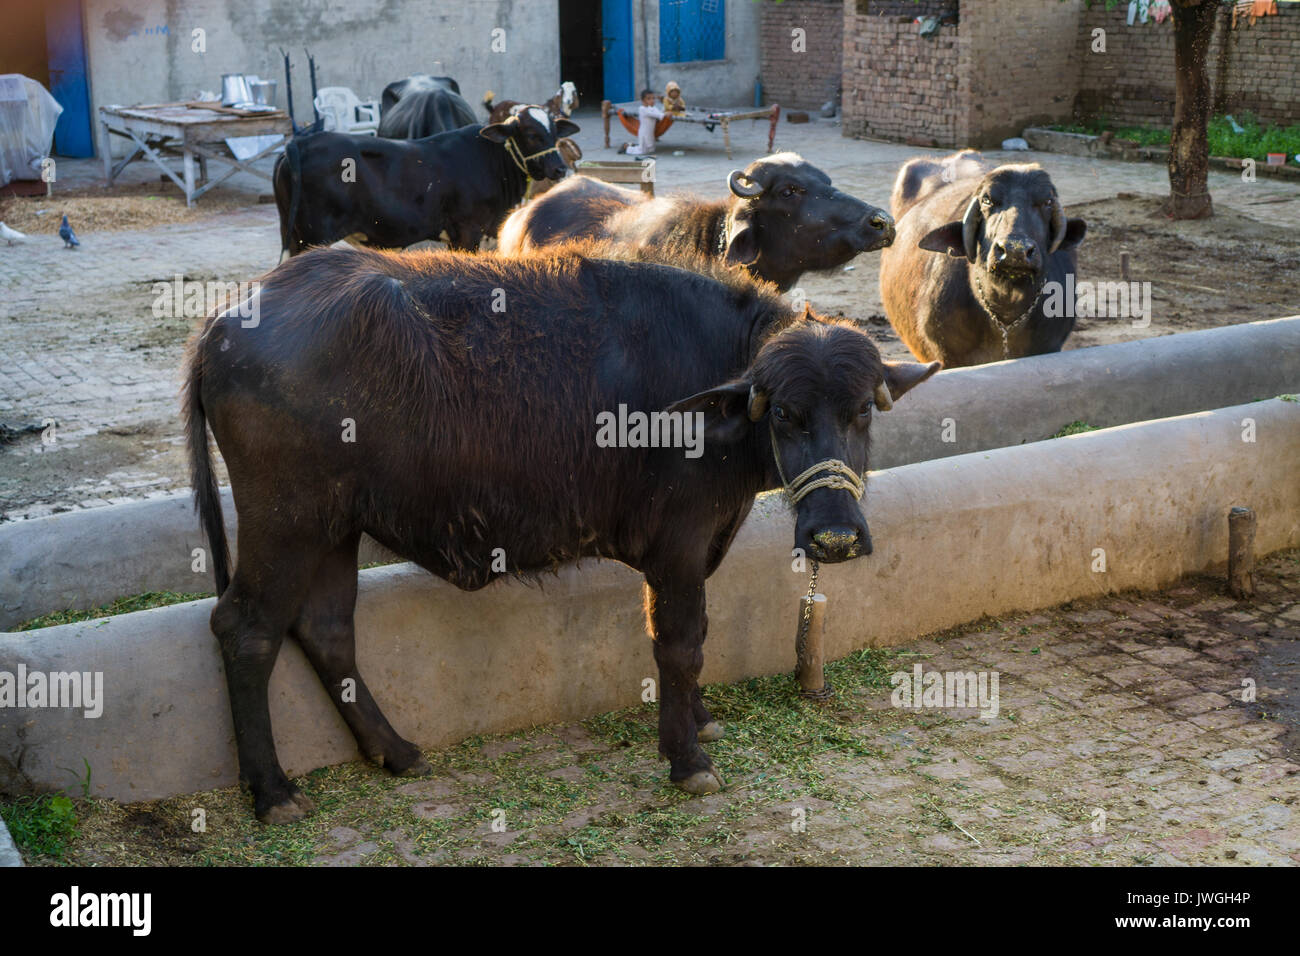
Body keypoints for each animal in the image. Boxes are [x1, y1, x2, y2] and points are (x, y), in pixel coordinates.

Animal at [185, 243, 938, 822]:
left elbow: (694, 640)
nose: (834, 539)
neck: (709, 403)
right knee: (246, 629)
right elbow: (679, 645)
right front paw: (687, 757)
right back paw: (274, 792)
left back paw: (397, 752)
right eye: (783, 413)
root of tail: (227, 320)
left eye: (862, 411)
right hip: (285, 522)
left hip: (335, 527)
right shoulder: (678, 546)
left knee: (327, 629)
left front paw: (698, 720)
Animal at [272, 107, 578, 257]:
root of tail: (300, 142)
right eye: (530, 134)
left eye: (554, 132)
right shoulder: (468, 230)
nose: (559, 168)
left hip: (293, 234)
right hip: (314, 235)